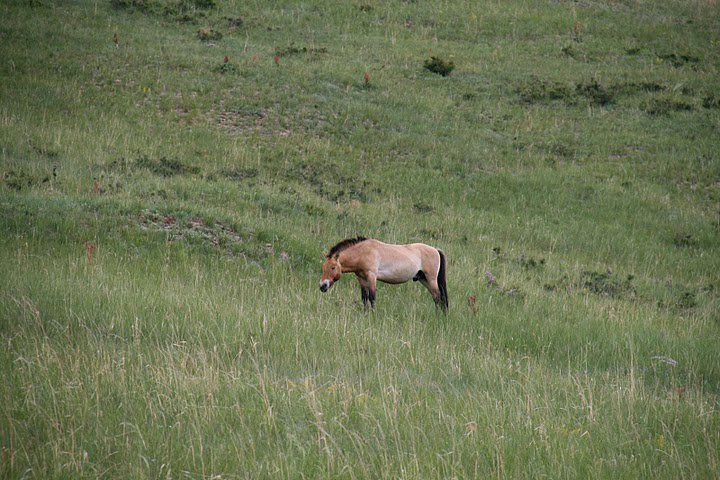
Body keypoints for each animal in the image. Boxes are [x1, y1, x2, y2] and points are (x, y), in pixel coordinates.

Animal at [320, 238, 448, 314]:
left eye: (333, 267)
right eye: (323, 267)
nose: (322, 286)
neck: (362, 252)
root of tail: (435, 250)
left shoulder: (371, 276)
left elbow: (372, 297)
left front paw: (373, 315)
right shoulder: (361, 279)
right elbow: (364, 298)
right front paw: (365, 314)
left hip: (431, 279)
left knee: (438, 296)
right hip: (424, 280)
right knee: (438, 297)